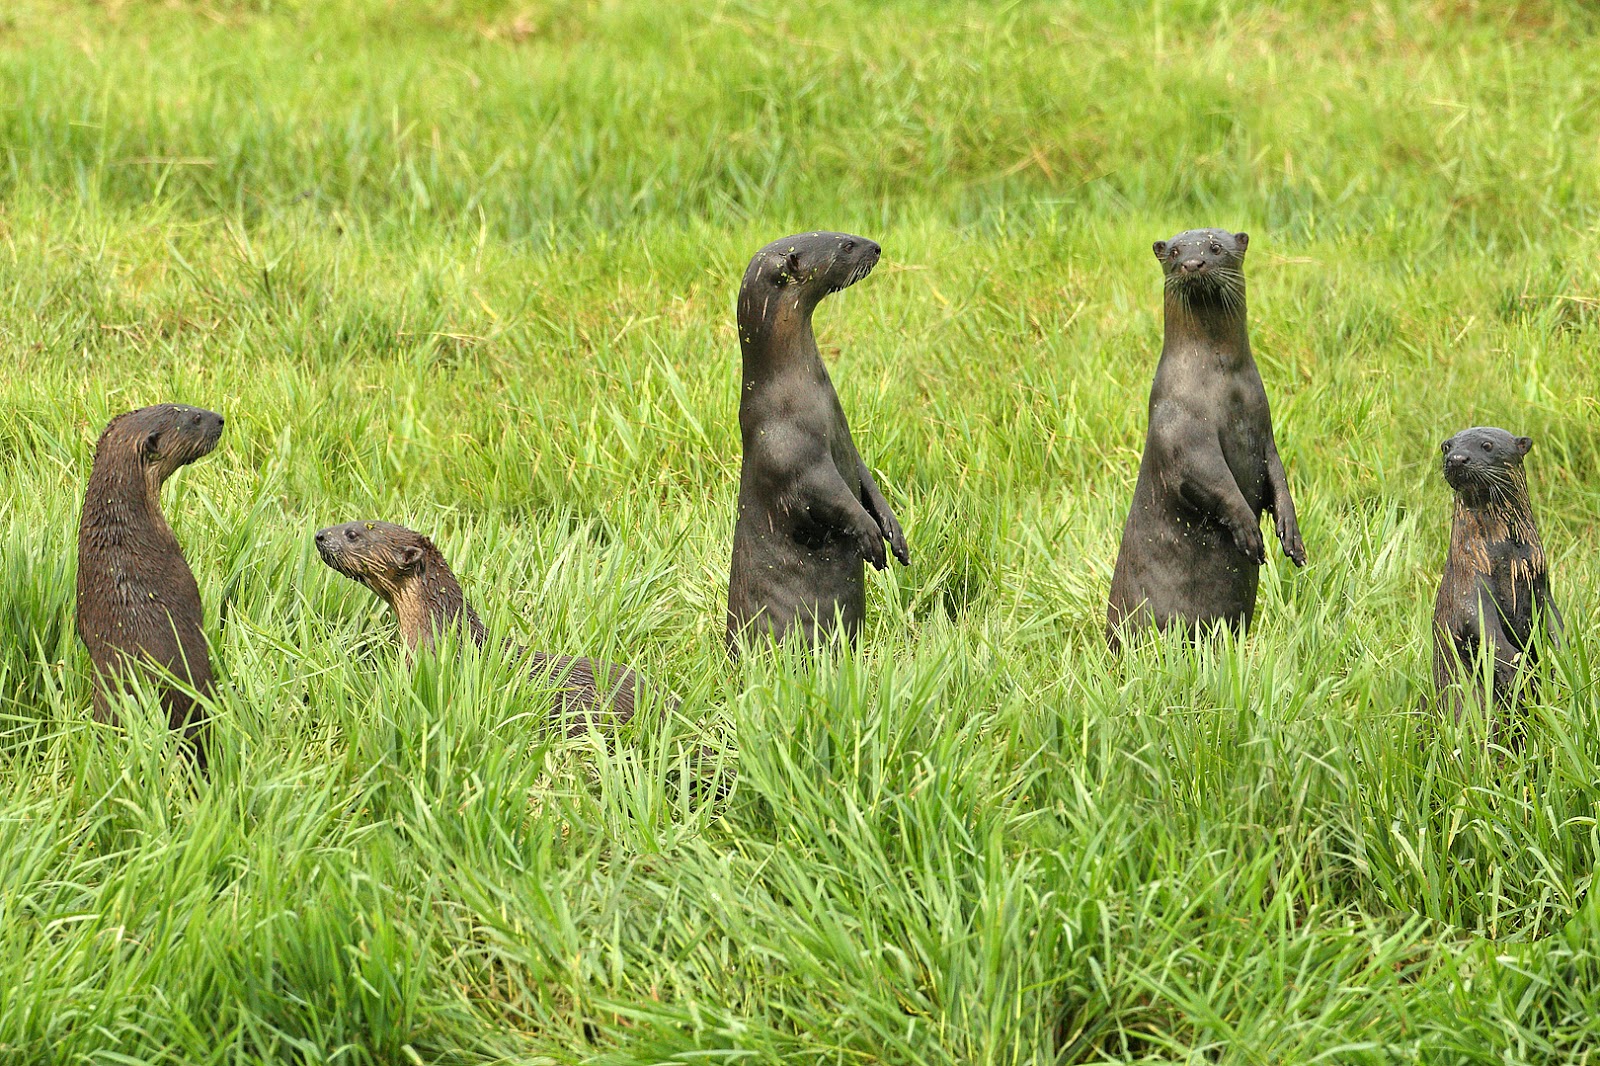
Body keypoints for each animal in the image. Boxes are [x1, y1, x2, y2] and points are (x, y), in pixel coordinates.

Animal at [726, 230, 910, 654]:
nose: (876, 246)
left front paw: (893, 530)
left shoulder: (847, 440)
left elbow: (865, 477)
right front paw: (870, 536)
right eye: (846, 245)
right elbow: (826, 496)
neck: (794, 394)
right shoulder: (791, 454)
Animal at [1106, 228, 1307, 650]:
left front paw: (1291, 535)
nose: (1192, 264)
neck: (1222, 386)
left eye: (1215, 247)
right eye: (1174, 252)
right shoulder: (1182, 429)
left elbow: (1278, 473)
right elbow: (1209, 478)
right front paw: (1249, 531)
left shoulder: (1262, 427)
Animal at [1432, 427, 1561, 725]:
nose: (1457, 458)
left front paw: (1558, 660)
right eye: (1446, 446)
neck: (1507, 557)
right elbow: (1482, 627)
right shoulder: (1468, 581)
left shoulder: (1540, 581)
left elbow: (1554, 623)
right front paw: (1518, 672)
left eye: (1487, 445)